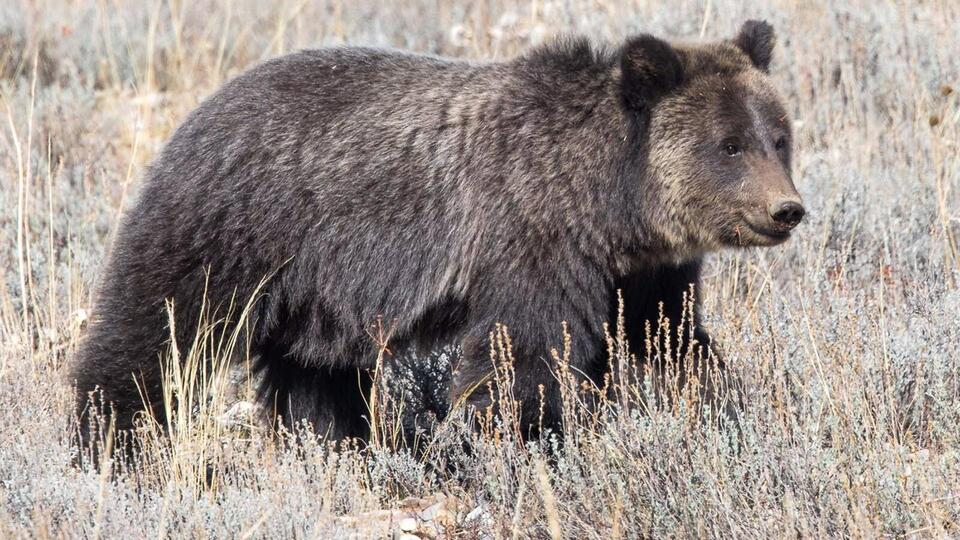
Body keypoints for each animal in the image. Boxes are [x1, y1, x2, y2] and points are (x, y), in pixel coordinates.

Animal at [71, 20, 804, 449]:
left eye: (778, 136)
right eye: (729, 144)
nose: (786, 210)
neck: (607, 207)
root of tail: (201, 108)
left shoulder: (642, 273)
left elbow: (671, 342)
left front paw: (727, 411)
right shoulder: (528, 242)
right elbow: (520, 358)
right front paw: (516, 441)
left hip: (317, 293)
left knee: (313, 374)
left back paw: (332, 442)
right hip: (235, 229)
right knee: (158, 327)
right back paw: (114, 436)